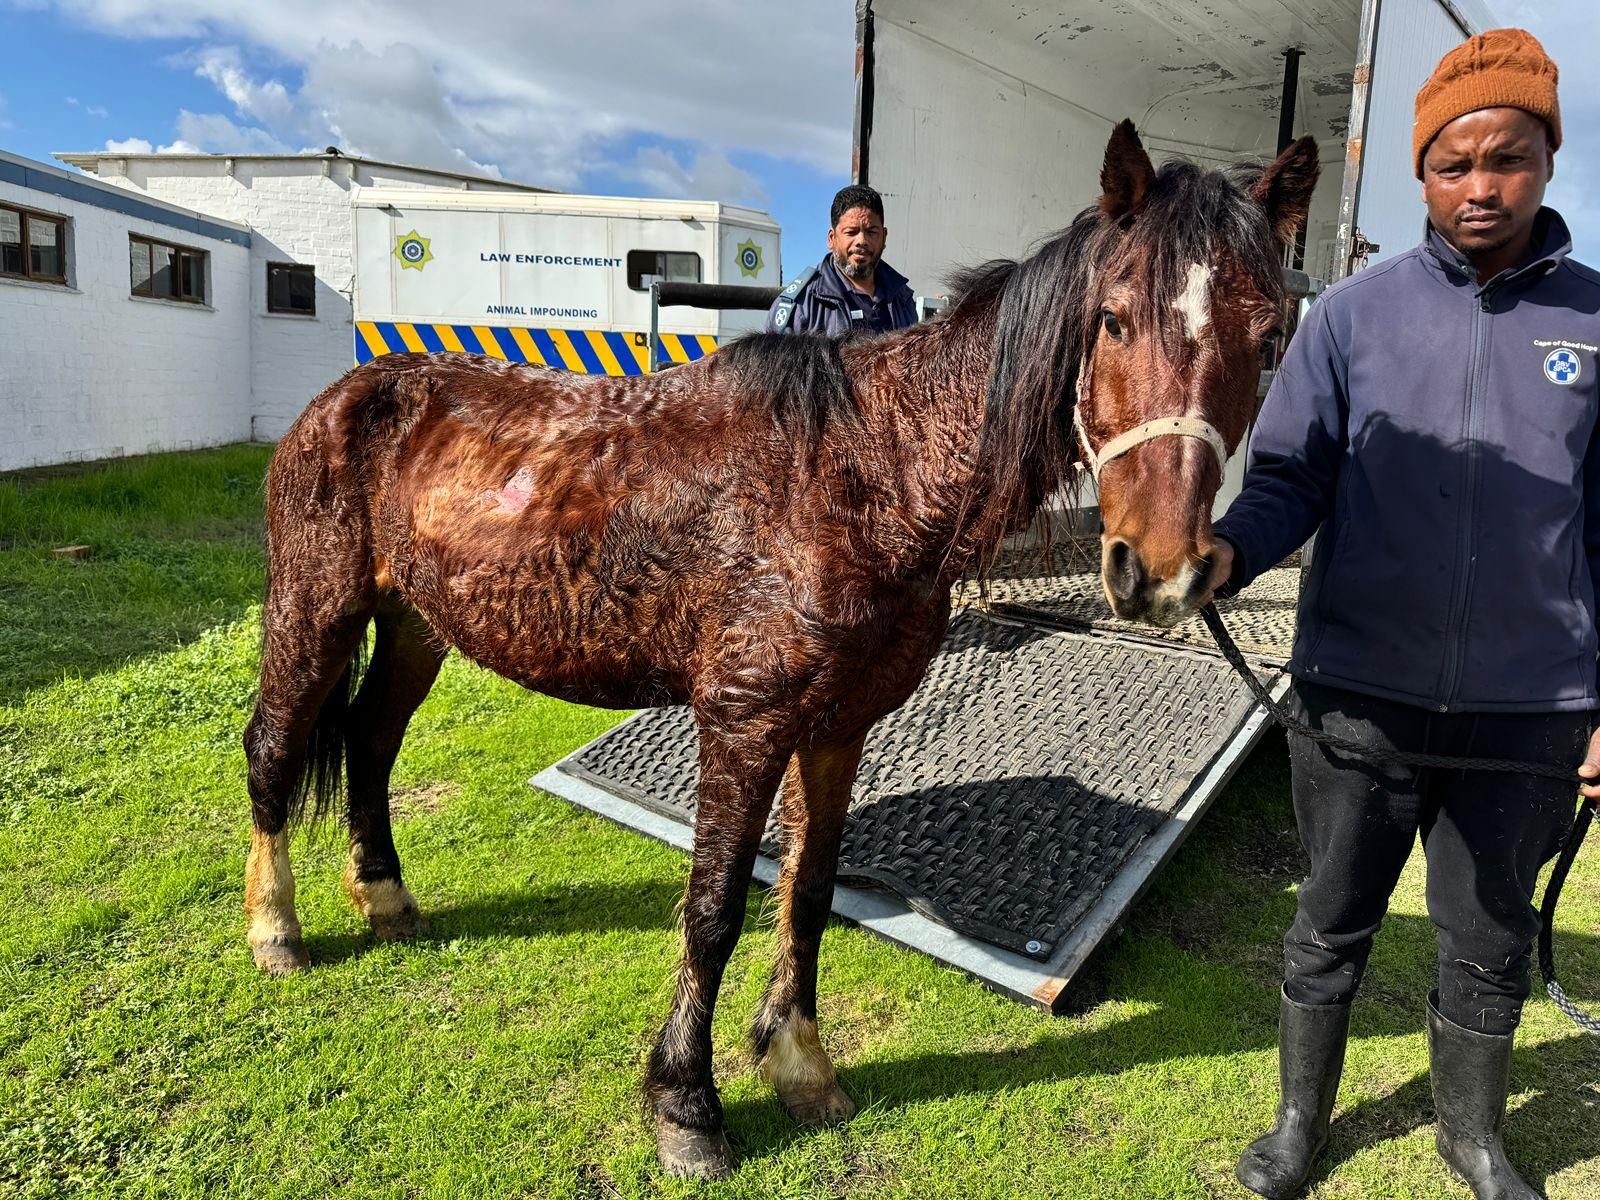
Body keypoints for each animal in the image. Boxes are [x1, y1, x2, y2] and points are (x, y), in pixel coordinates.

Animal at [242, 120, 1318, 1178]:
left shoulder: (839, 728)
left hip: (415, 626)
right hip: (315, 607)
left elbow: (806, 893)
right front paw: (687, 1108)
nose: (1163, 568)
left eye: (1269, 338)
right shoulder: (745, 723)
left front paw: (799, 1065)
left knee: (371, 742)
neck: (863, 473)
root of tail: (350, 391)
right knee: (274, 747)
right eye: (1114, 320)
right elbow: (715, 907)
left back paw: (386, 898)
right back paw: (276, 930)